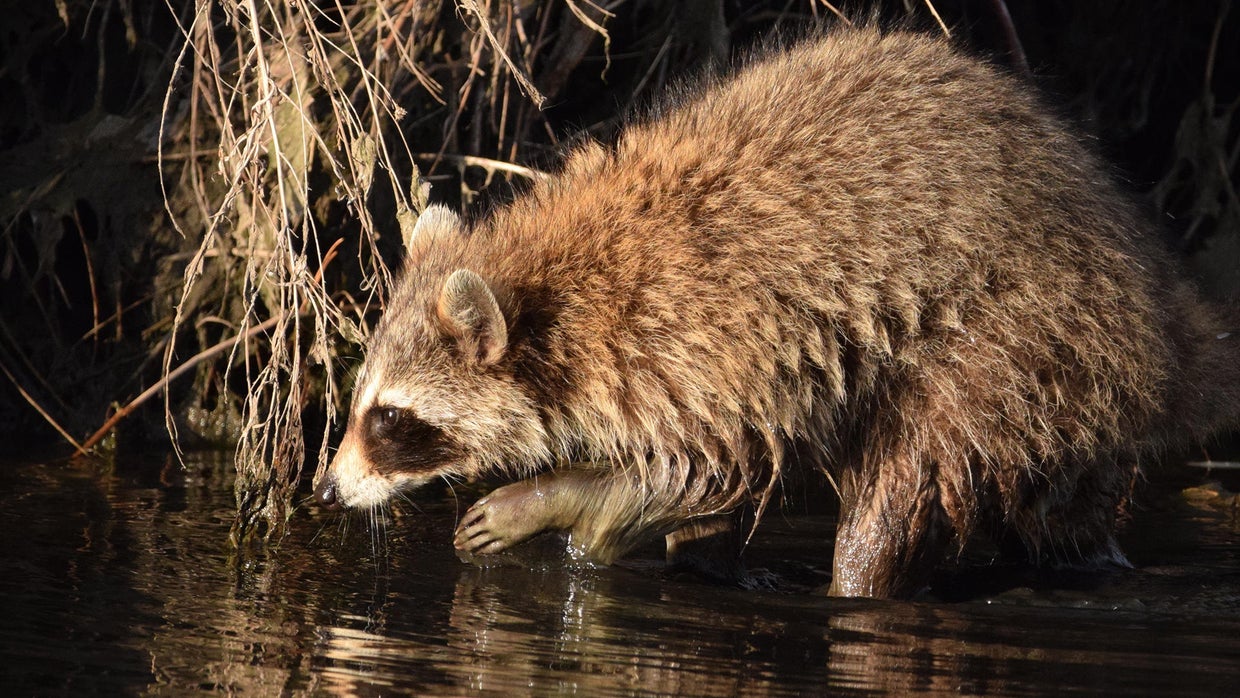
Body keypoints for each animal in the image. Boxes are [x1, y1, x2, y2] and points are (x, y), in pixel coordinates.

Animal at [313, 28, 1240, 598]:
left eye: (389, 420)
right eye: (356, 405)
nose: (324, 489)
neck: (561, 287)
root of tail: (1162, 309)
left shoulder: (706, 341)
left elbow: (702, 468)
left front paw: (558, 502)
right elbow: (712, 485)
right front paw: (700, 556)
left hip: (1016, 335)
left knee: (909, 470)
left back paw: (857, 584)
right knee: (1051, 511)